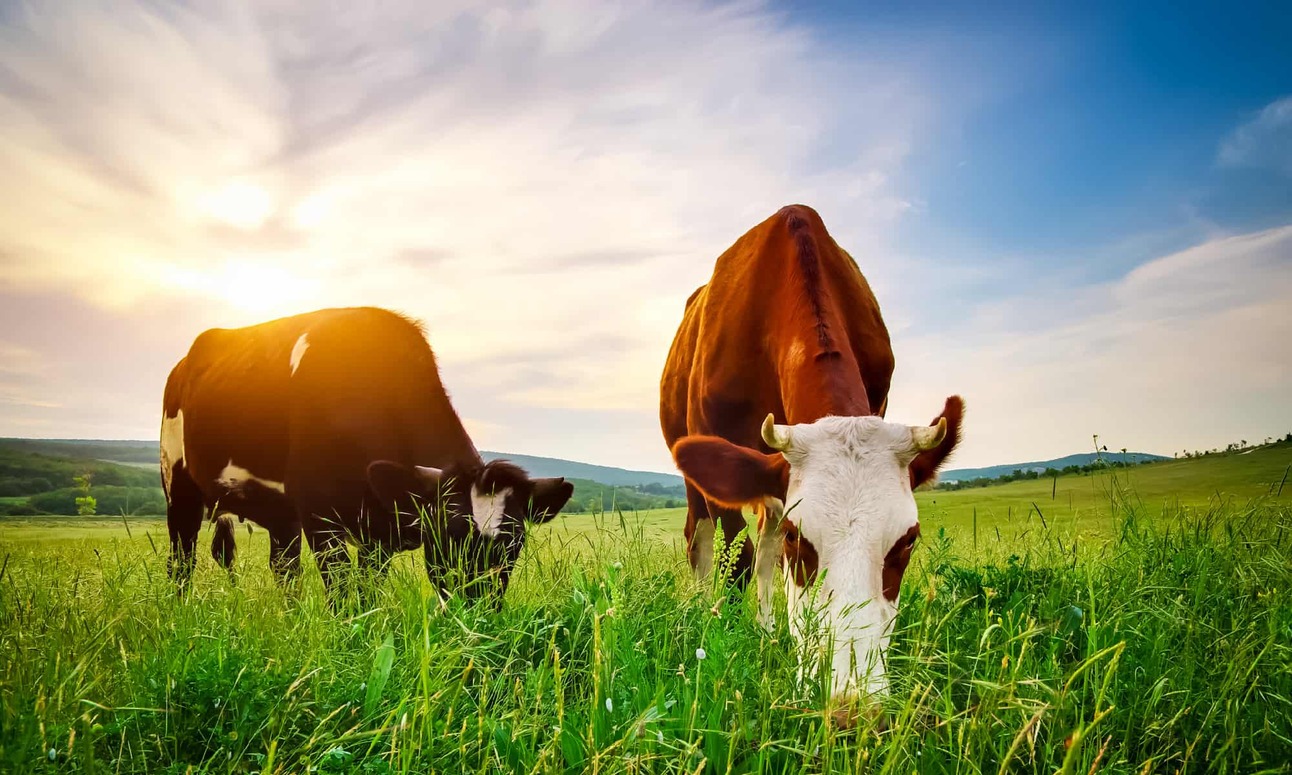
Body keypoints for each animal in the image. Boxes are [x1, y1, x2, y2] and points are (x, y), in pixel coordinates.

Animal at [161, 306, 574, 602]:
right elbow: (343, 596)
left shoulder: (379, 534)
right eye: (448, 537)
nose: (477, 615)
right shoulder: (318, 513)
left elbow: (367, 594)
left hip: (279, 514)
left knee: (283, 569)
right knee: (181, 560)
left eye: (513, 546)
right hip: (178, 484)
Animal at [659, 205, 962, 718]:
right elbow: (739, 557)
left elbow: (763, 557)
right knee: (703, 540)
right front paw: (727, 637)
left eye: (907, 543)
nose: (851, 706)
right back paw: (705, 610)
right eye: (799, 541)